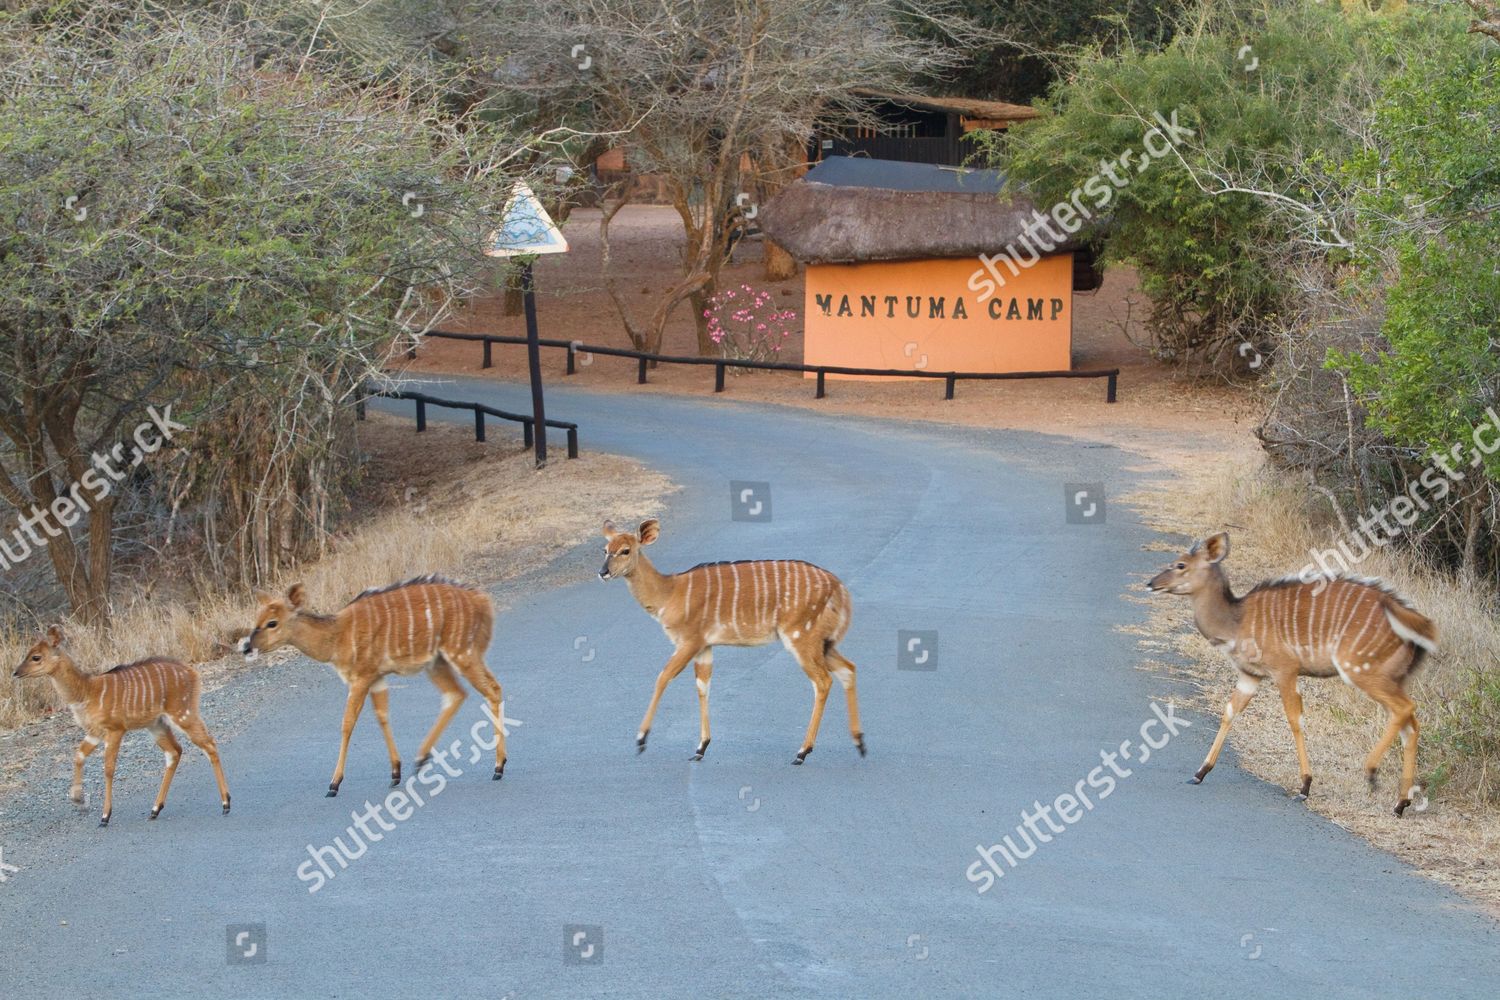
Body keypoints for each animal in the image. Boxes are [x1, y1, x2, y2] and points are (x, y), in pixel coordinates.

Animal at [12, 626, 231, 827]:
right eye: (28, 653)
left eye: (36, 657)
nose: (15, 673)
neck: (86, 692)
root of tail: (193, 673)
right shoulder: (94, 732)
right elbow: (78, 756)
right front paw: (78, 799)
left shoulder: (115, 729)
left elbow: (108, 768)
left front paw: (105, 816)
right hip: (157, 725)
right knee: (174, 752)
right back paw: (155, 809)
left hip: (183, 713)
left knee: (209, 744)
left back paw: (226, 804)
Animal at [239, 576, 505, 796]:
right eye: (257, 619)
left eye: (272, 623)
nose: (247, 647)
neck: (336, 637)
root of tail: (482, 601)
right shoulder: (377, 678)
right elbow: (382, 716)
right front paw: (395, 773)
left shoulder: (361, 678)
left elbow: (347, 724)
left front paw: (334, 784)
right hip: (437, 662)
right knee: (456, 694)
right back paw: (421, 759)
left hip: (461, 652)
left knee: (493, 689)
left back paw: (498, 767)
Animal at [599, 518, 865, 764]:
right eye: (605, 549)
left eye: (626, 550)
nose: (602, 572)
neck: (670, 593)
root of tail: (839, 588)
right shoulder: (705, 647)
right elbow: (702, 686)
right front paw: (700, 747)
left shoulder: (689, 641)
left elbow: (663, 677)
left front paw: (641, 739)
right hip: (823, 643)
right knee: (848, 668)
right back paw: (859, 742)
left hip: (800, 636)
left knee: (823, 681)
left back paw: (802, 751)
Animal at [1148, 532, 1436, 816]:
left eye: (1180, 564)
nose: (1151, 583)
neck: (1236, 622)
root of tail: (1418, 627)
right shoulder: (1250, 676)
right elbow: (1230, 712)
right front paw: (1199, 772)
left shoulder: (1284, 670)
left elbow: (1294, 719)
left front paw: (1305, 786)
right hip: (1393, 678)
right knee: (1409, 724)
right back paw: (1400, 804)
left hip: (1362, 671)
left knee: (1404, 709)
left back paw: (1372, 774)